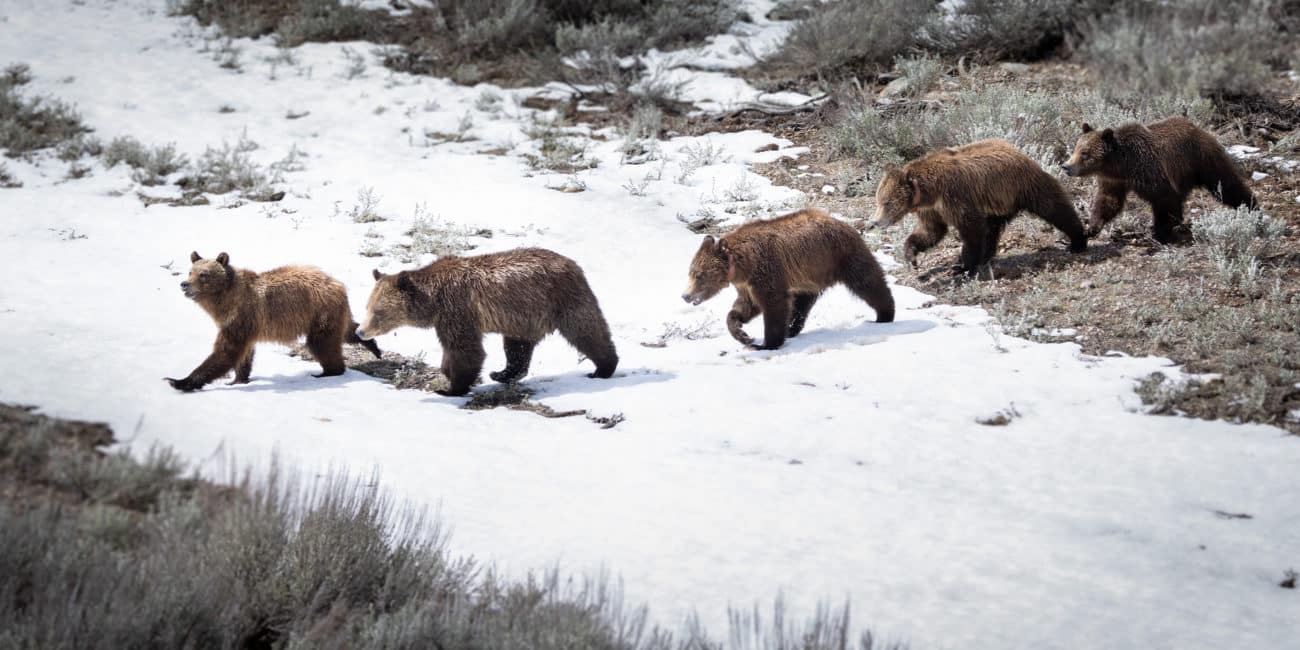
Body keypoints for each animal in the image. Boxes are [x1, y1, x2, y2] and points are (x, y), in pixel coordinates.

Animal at [165, 252, 381, 392]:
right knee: (346, 332)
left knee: (322, 344)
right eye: (190, 271)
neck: (223, 301)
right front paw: (238, 379)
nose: (184, 284)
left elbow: (225, 352)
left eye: (203, 274)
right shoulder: (245, 324)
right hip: (333, 313)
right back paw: (371, 344)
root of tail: (338, 284)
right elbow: (244, 354)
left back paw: (328, 372)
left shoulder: (240, 316)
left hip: (319, 312)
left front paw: (179, 381)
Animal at [355, 248, 618, 397]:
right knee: (517, 347)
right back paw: (502, 373)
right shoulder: (448, 316)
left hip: (561, 299)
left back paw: (603, 368)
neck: (432, 302)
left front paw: (451, 388)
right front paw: (449, 376)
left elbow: (465, 350)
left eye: (378, 312)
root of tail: (573, 264)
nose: (360, 331)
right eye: (367, 307)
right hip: (522, 316)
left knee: (586, 331)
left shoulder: (457, 310)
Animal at [681, 207, 894, 351]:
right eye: (690, 273)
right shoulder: (747, 284)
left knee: (867, 282)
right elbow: (746, 306)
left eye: (699, 275)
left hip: (841, 255)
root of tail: (842, 222)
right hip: (810, 276)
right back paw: (792, 329)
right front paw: (742, 333)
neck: (741, 266)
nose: (685, 295)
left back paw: (885, 314)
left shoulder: (766, 271)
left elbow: (774, 304)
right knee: (802, 304)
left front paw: (765, 344)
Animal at [867, 139, 1088, 276]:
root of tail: (1019, 152)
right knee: (991, 229)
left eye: (887, 202)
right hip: (997, 202)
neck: (927, 192)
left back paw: (1077, 241)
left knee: (1054, 207)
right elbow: (930, 231)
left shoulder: (953, 195)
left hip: (1023, 186)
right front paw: (911, 256)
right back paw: (986, 256)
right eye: (878, 200)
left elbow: (971, 228)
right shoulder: (932, 209)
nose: (875, 222)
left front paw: (963, 266)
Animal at [1063, 116, 1258, 243]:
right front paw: (1091, 227)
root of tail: (1200, 129)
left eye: (1085, 153)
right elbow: (1108, 201)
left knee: (1226, 185)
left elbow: (1164, 202)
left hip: (1203, 160)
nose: (1066, 166)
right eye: (1077, 148)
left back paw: (1252, 207)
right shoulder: (1113, 181)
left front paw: (1161, 234)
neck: (1122, 166)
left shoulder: (1153, 173)